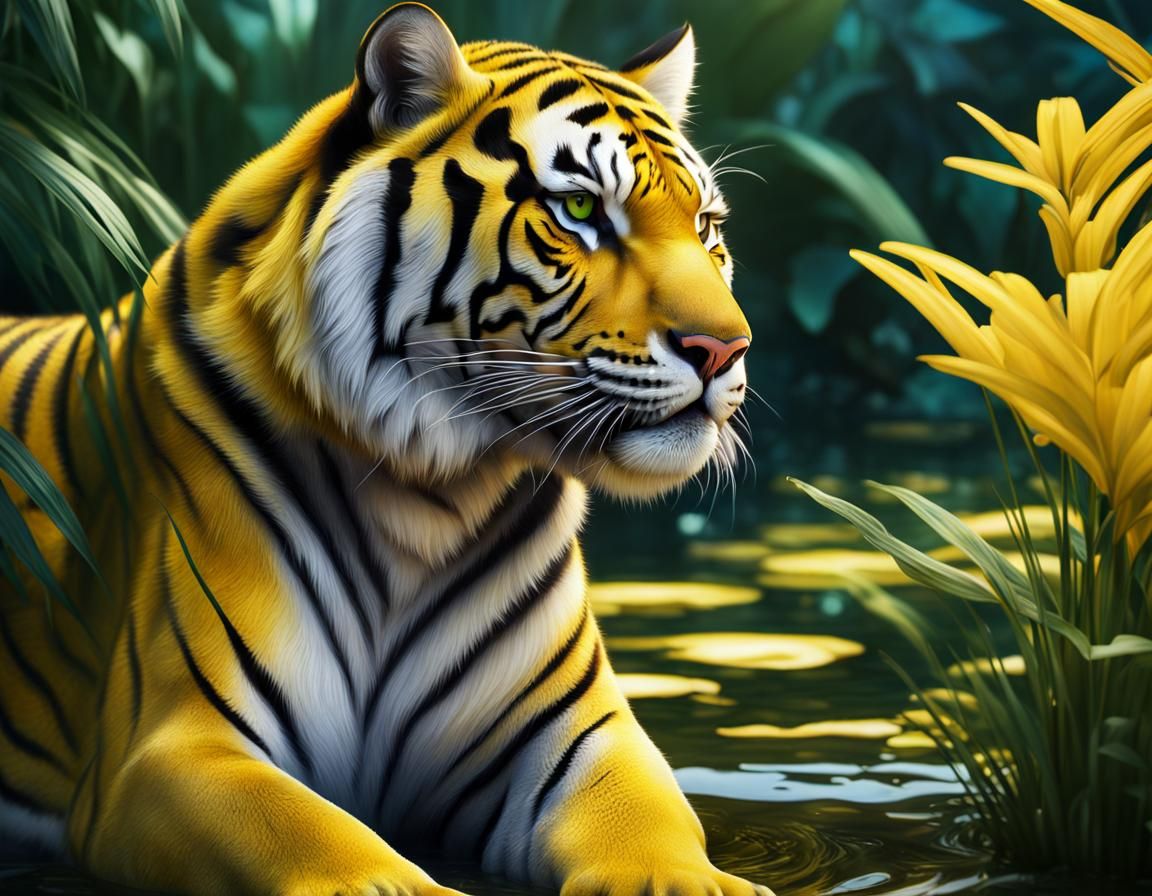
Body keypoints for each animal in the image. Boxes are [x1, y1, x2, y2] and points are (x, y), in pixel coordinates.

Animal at [0, 4, 764, 895]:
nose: (726, 348)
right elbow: (318, 841)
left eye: (707, 227)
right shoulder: (174, 745)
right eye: (579, 209)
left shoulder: (578, 732)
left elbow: (650, 823)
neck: (431, 496)